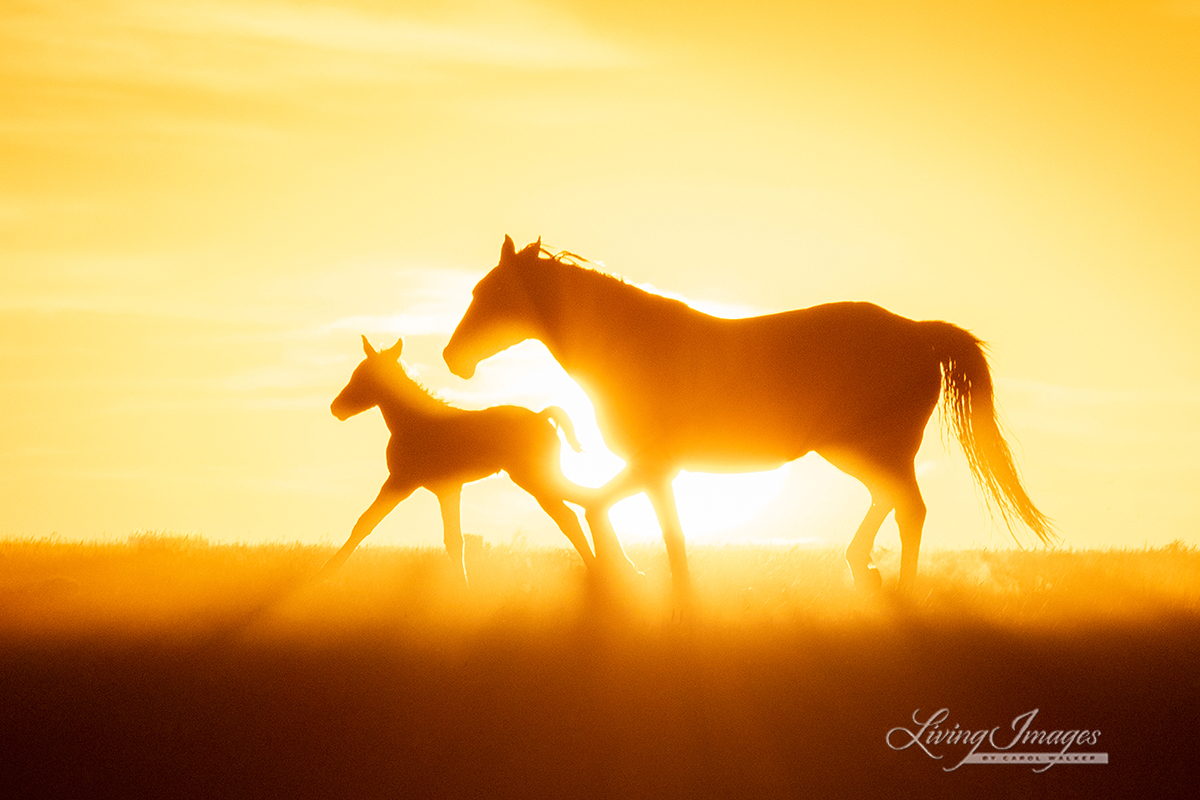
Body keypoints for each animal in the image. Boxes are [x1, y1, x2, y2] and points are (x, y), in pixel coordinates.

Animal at [318, 334, 596, 583]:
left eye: (364, 376)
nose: (336, 408)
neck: (414, 424)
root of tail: (541, 415)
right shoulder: (447, 489)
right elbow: (454, 541)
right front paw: (463, 589)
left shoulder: (400, 481)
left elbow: (365, 522)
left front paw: (325, 573)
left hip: (534, 479)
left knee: (570, 516)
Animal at [443, 236, 1056, 594]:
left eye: (490, 295)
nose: (453, 359)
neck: (632, 345)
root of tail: (919, 334)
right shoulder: (660, 471)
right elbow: (667, 535)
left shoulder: (653, 463)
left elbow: (597, 508)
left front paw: (627, 578)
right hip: (857, 451)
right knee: (891, 501)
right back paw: (863, 569)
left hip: (874, 449)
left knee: (910, 509)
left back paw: (897, 591)